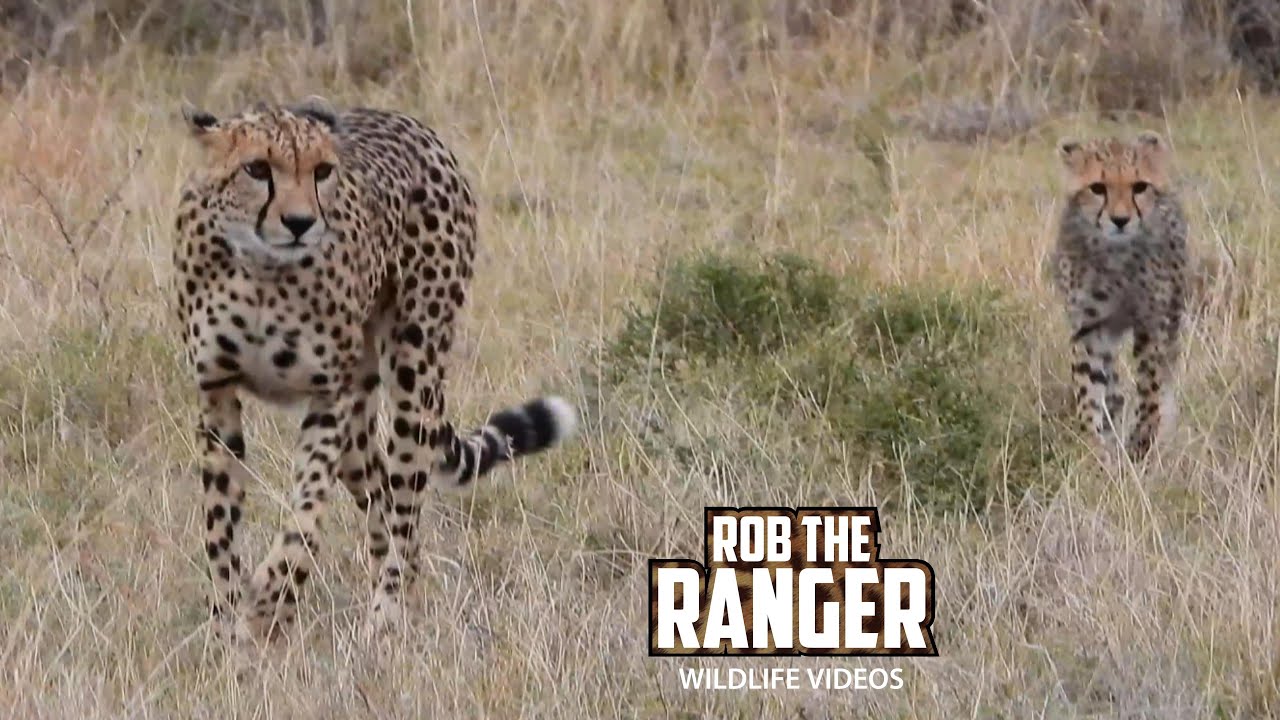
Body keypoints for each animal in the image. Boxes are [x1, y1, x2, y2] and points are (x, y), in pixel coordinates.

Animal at [172, 96, 578, 644]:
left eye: (322, 171)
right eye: (256, 169)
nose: (300, 223)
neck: (262, 272)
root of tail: (405, 121)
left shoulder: (329, 397)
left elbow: (304, 519)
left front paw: (269, 606)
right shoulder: (217, 394)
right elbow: (220, 526)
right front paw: (226, 625)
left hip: (413, 374)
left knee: (404, 501)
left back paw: (387, 615)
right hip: (360, 426)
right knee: (380, 492)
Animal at [1047, 131, 1189, 462]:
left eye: (1140, 187)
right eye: (1098, 188)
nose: (1121, 220)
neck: (1115, 255)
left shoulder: (1151, 322)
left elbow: (1150, 387)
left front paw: (1142, 439)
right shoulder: (1090, 327)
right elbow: (1088, 388)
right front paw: (1095, 445)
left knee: (1165, 374)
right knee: (1113, 390)